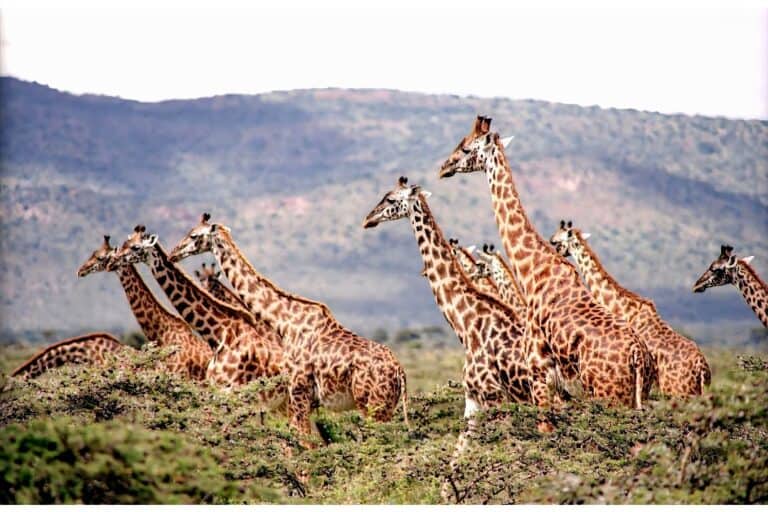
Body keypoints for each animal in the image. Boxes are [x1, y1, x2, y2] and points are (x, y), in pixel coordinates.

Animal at [168, 213, 408, 443]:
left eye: (194, 235)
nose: (173, 253)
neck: (285, 322)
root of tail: (400, 372)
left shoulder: (299, 391)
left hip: (372, 405)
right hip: (384, 407)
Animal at [363, 177, 563, 501]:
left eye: (391, 199)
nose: (368, 219)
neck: (467, 326)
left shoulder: (495, 398)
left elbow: (509, 456)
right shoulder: (473, 402)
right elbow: (453, 466)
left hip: (546, 400)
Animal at [439, 116, 653, 409]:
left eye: (466, 148)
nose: (443, 168)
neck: (533, 269)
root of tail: (638, 357)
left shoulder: (538, 371)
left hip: (608, 394)